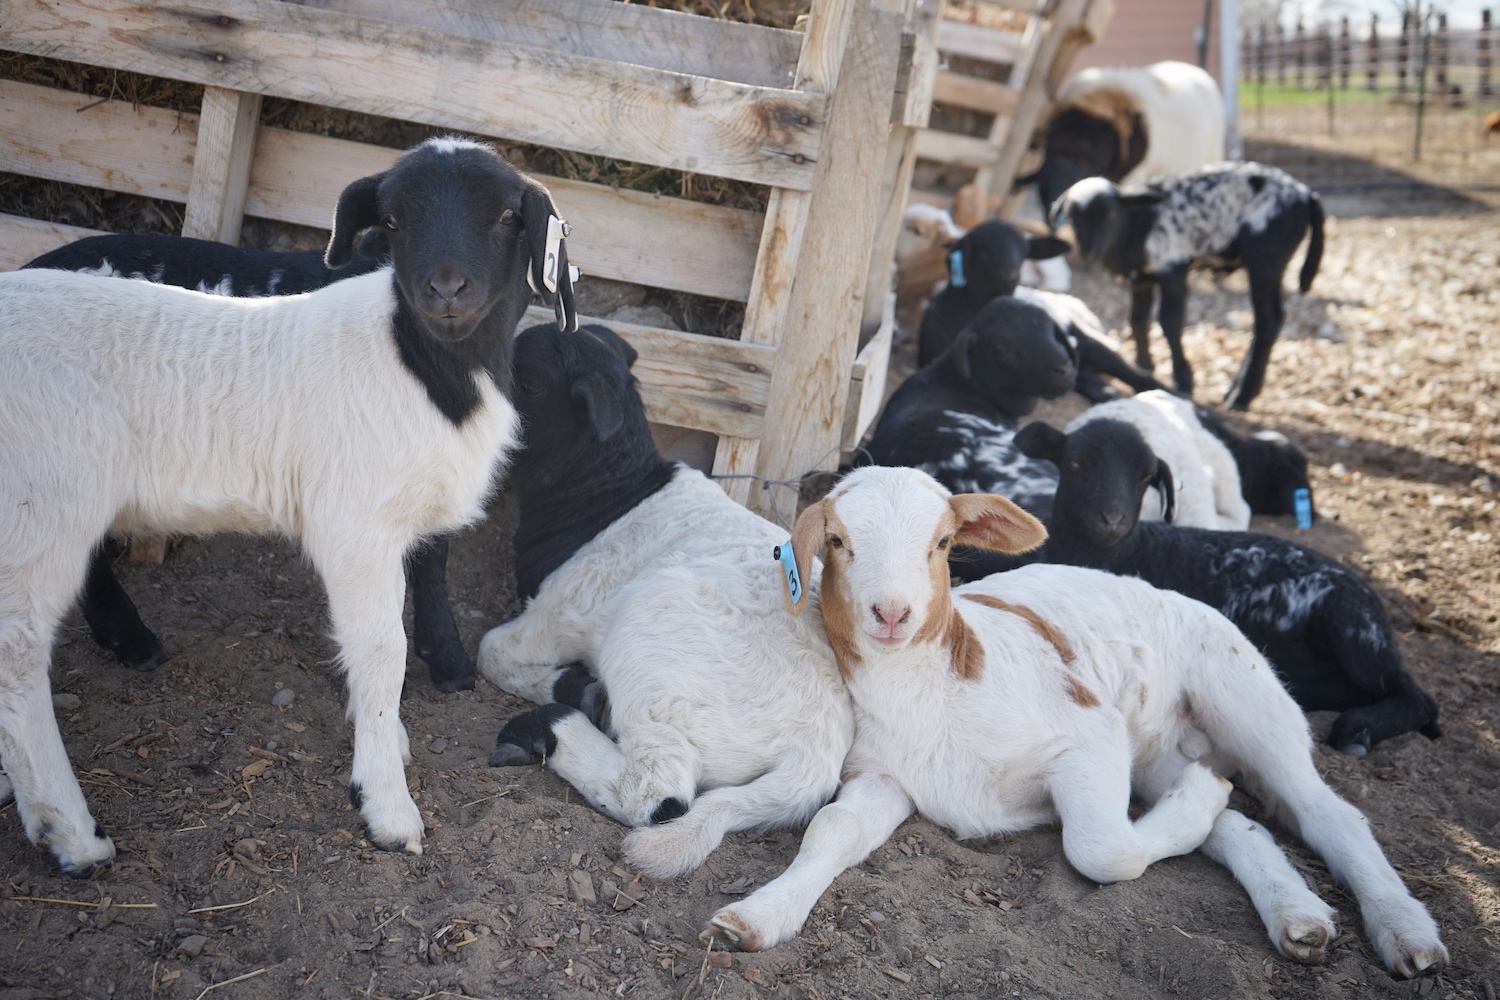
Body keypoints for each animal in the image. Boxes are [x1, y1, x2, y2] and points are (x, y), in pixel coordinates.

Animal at [477, 323, 852, 879]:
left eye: (526, 381)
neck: (607, 495)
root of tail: (817, 748)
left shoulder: (556, 614)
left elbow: (491, 652)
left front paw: (573, 687)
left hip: (649, 649)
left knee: (658, 792)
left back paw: (554, 724)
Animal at [702, 465, 1448, 980]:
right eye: (836, 540)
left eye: (942, 543)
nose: (892, 614)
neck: (934, 690)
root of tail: (1173, 593)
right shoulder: (883, 775)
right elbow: (830, 831)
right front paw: (758, 915)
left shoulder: (1087, 737)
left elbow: (1101, 850)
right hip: (1157, 752)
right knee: (1242, 823)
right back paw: (1294, 912)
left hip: (1244, 696)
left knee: (1327, 812)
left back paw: (1405, 929)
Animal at [1014, 419, 1441, 755]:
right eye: (1075, 464)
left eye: (1145, 478)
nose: (1112, 518)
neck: (1131, 551)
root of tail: (1374, 600)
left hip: (1353, 626)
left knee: (1415, 696)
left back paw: (1357, 730)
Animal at [1050, 161, 1325, 410]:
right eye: (1072, 217)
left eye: (1110, 213)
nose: (1090, 251)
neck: (1138, 223)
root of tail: (1306, 194)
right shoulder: (1141, 280)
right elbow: (1137, 320)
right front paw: (1144, 365)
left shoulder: (1173, 270)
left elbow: (1169, 322)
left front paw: (1182, 380)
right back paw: (1238, 389)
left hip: (1265, 259)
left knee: (1269, 319)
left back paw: (1241, 395)